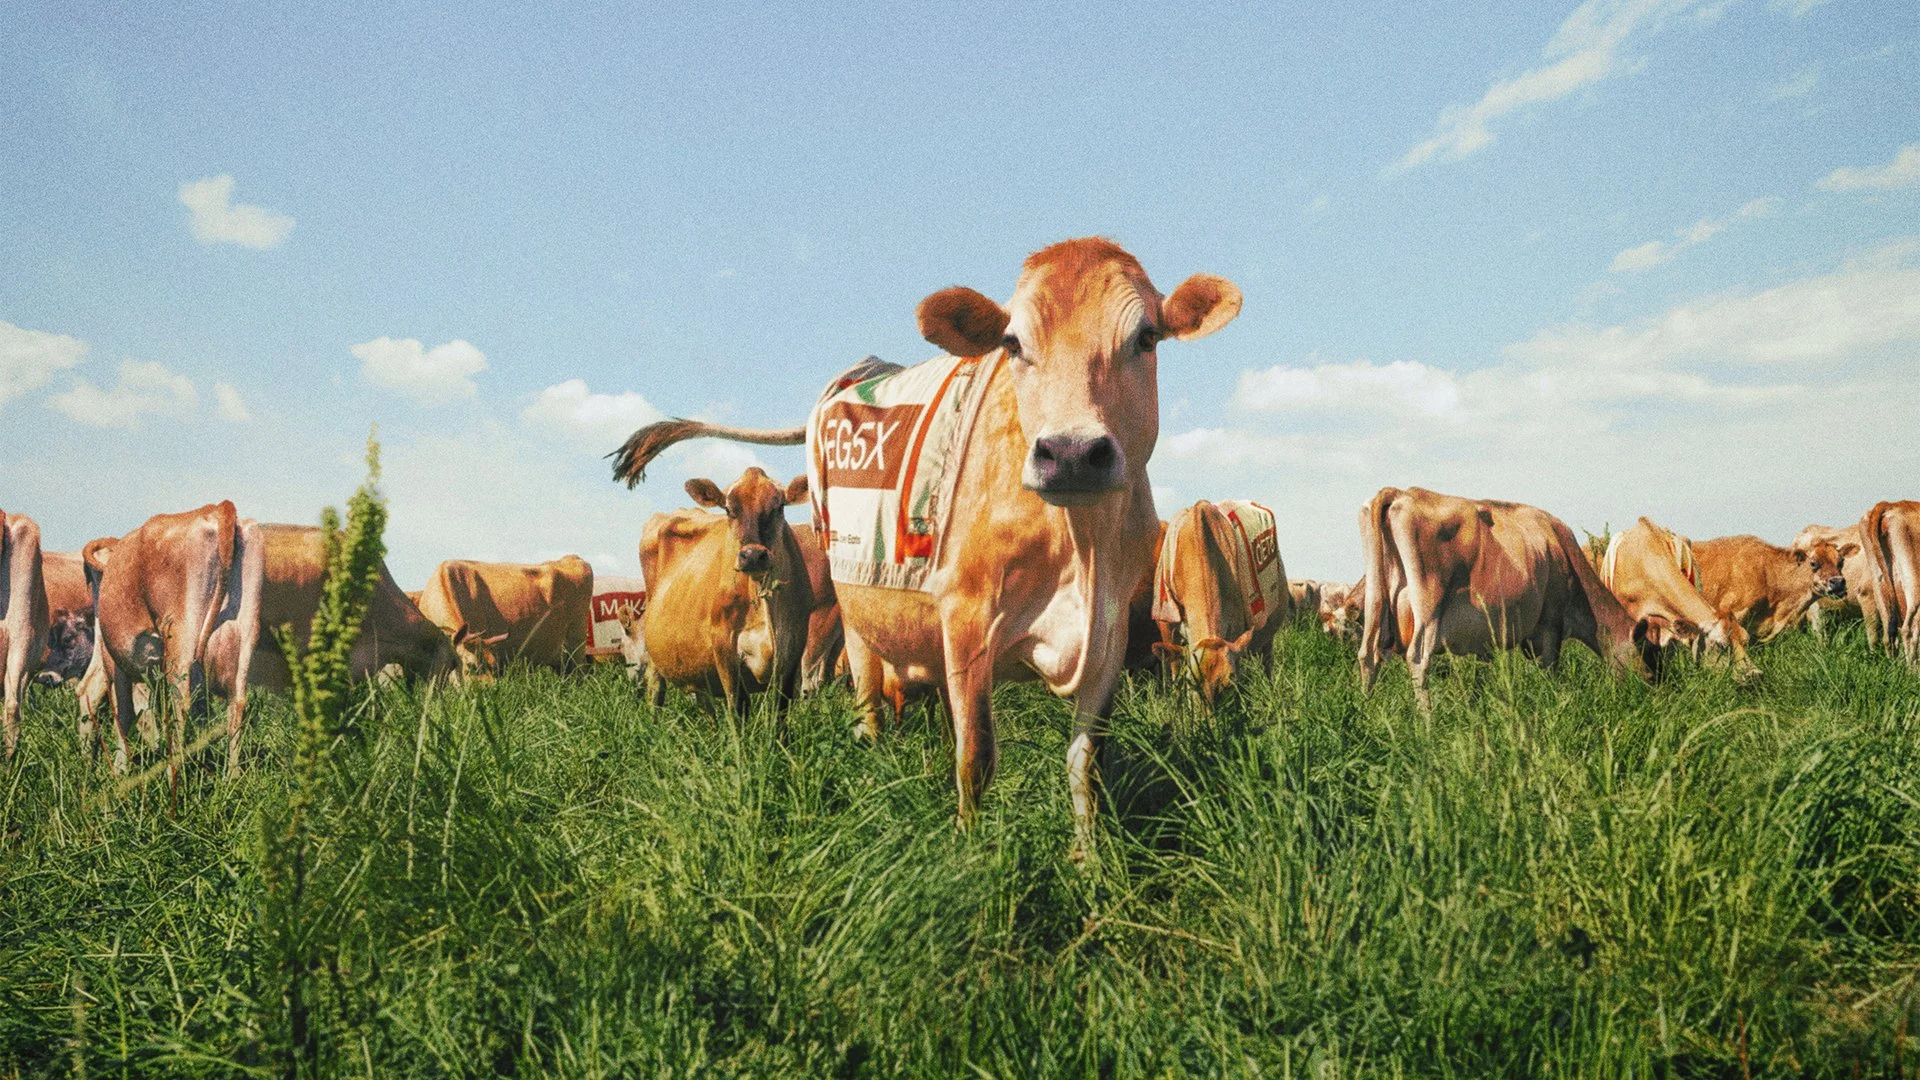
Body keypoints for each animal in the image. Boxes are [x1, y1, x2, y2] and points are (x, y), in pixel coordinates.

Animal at [92, 502, 264, 780]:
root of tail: (217, 508)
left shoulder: (114, 662)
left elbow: (123, 715)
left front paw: (120, 770)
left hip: (180, 638)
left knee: (180, 704)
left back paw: (175, 772)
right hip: (245, 634)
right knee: (236, 703)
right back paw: (231, 776)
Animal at [636, 469, 815, 715]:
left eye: (779, 507)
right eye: (729, 509)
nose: (752, 555)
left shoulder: (792, 653)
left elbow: (779, 712)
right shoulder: (724, 649)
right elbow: (738, 709)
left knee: (703, 701)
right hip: (654, 648)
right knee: (655, 689)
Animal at [1149, 500, 1291, 707]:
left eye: (1229, 686)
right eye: (1191, 684)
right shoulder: (1166, 625)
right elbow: (1174, 668)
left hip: (1268, 632)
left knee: (1266, 662)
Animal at [1358, 487, 1651, 711]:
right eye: (1650, 659)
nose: (1652, 692)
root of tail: (1401, 493)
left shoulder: (1485, 637)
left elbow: (1481, 678)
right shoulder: (1550, 626)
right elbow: (1551, 671)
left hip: (1374, 599)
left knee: (1368, 654)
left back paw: (1367, 712)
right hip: (1428, 607)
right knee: (1418, 659)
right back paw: (1427, 723)